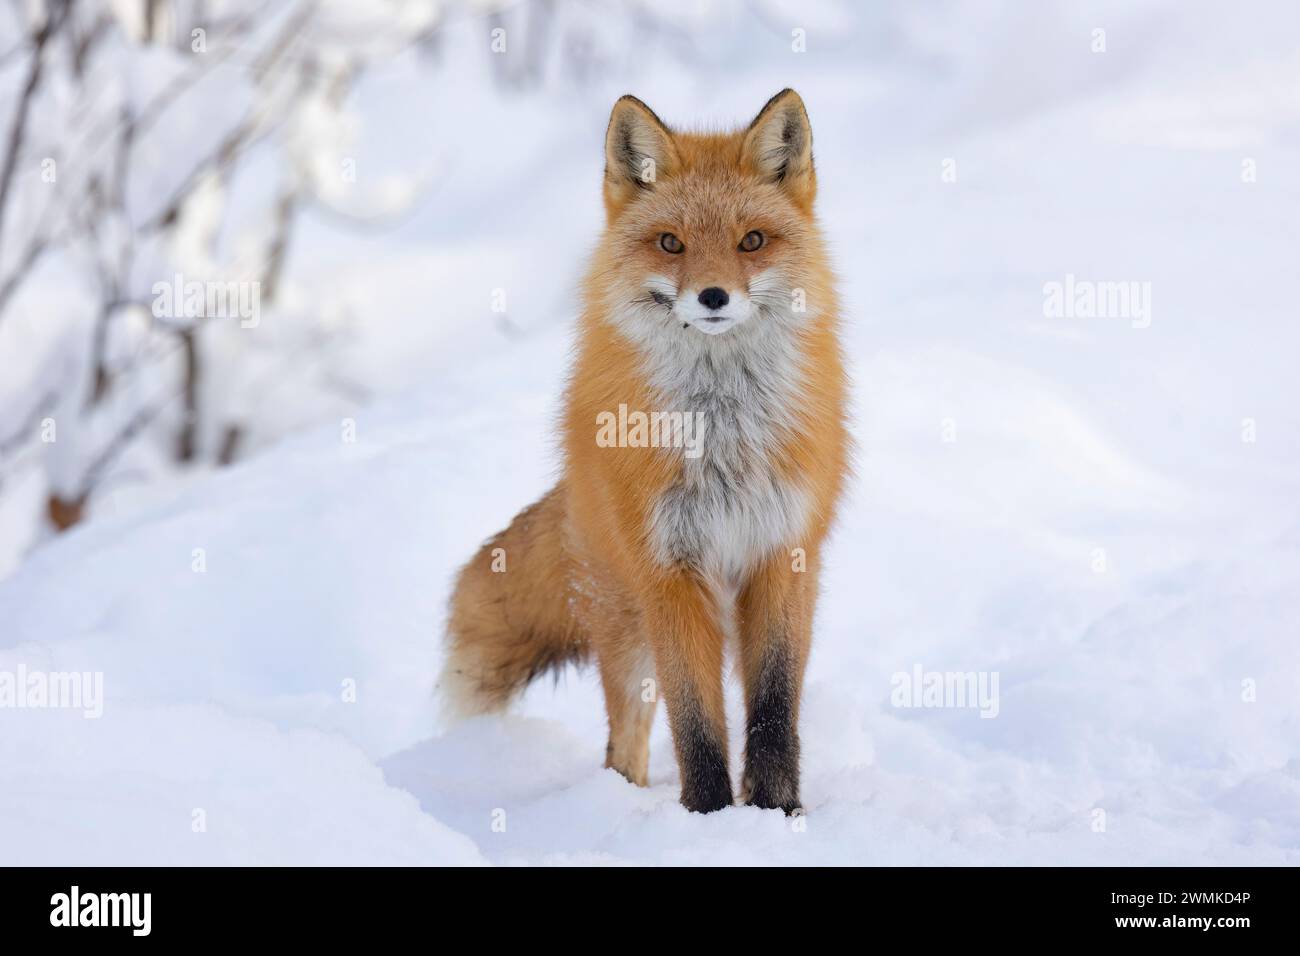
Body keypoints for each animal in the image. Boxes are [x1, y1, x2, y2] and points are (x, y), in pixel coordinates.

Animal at [440, 90, 849, 813]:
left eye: (751, 241)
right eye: (670, 242)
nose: (713, 296)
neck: (722, 440)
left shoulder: (783, 556)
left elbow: (774, 708)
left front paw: (778, 810)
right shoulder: (669, 573)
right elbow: (697, 723)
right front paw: (709, 814)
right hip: (628, 633)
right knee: (621, 749)